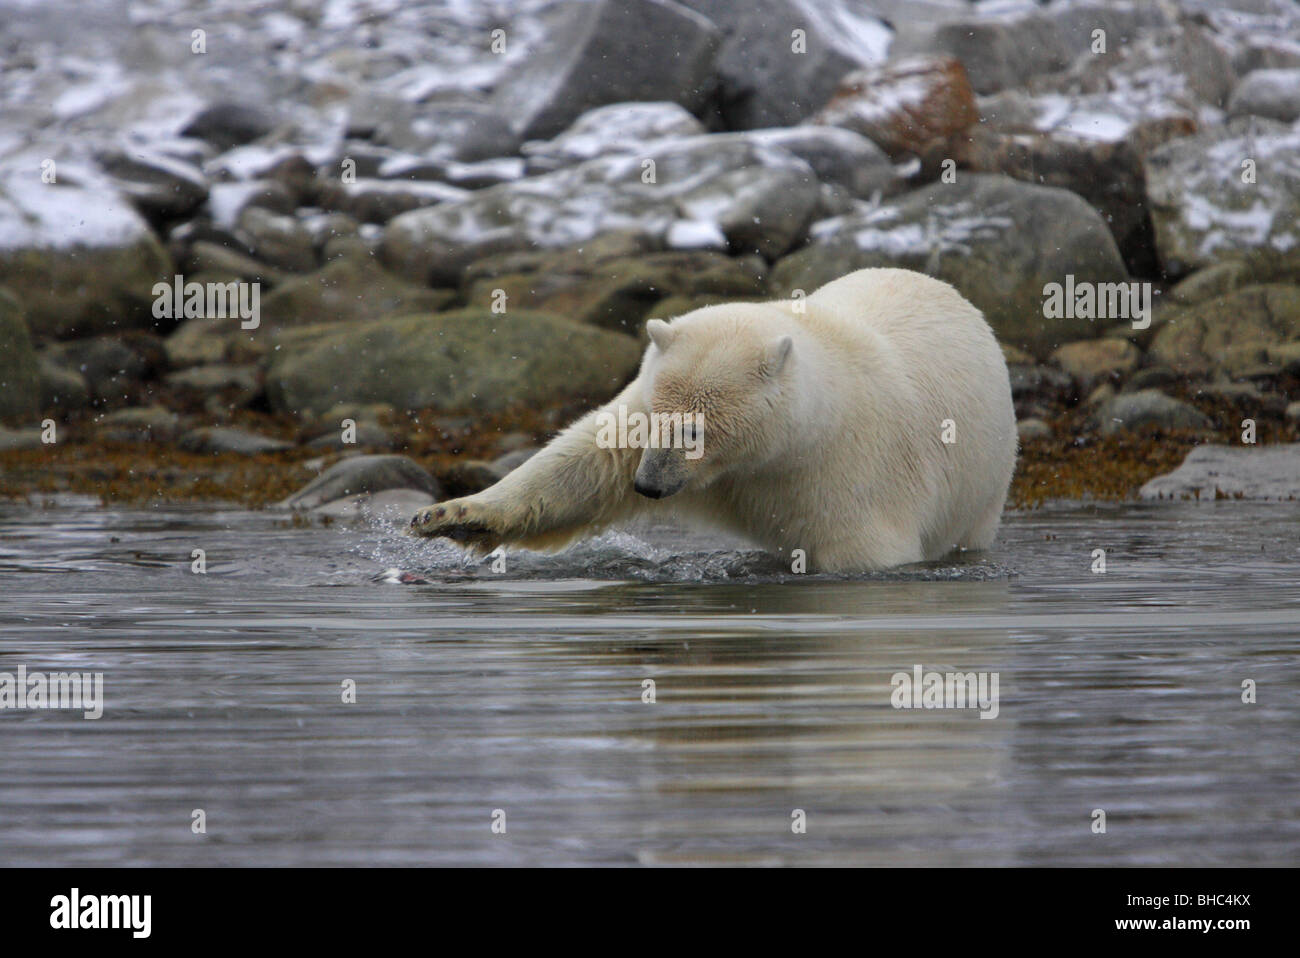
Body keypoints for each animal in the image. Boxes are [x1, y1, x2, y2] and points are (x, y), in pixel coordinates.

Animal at [411, 268, 1017, 572]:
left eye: (696, 430)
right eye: (656, 423)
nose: (649, 485)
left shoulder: (855, 467)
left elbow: (864, 553)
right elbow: (582, 467)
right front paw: (450, 516)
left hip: (982, 490)